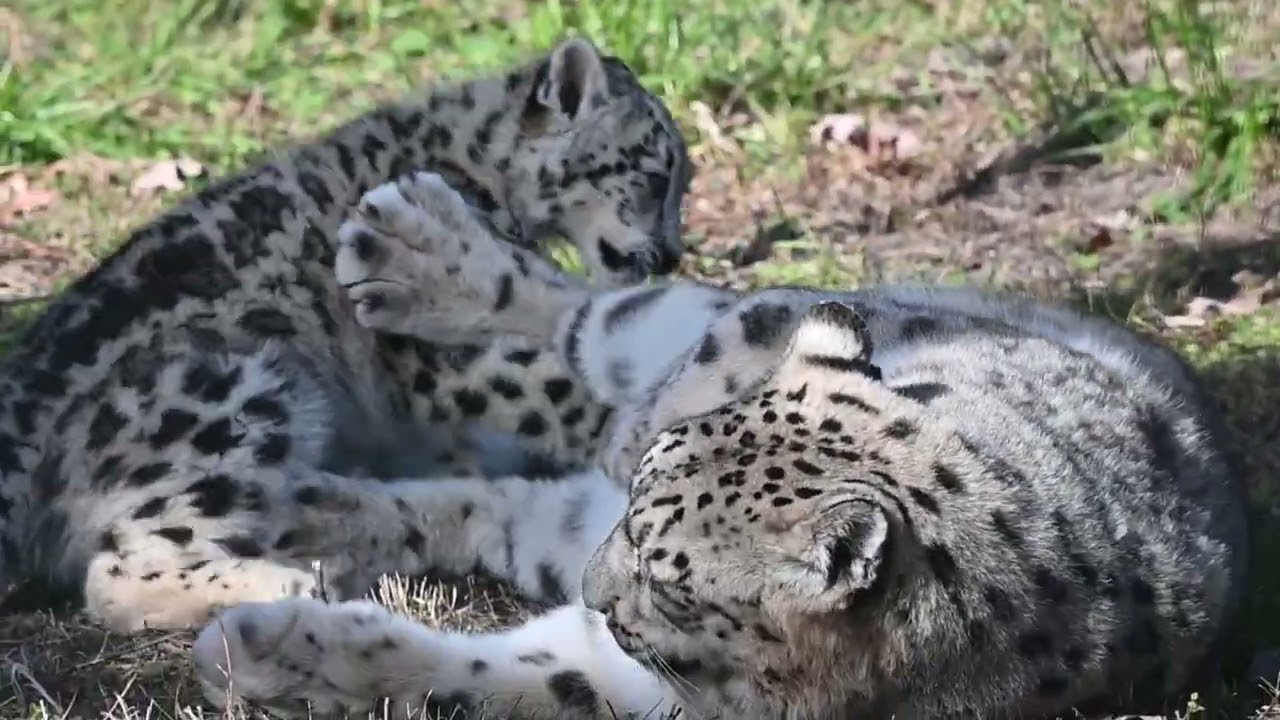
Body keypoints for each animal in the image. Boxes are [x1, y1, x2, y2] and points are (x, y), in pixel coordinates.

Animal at [0, 36, 693, 633]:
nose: (670, 255)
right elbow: (559, 383)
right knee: (116, 569)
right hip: (228, 393)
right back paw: (289, 583)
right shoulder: (463, 359)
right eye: (654, 175)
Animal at [191, 169, 1251, 719]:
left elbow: (503, 676)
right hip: (694, 322)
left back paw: (296, 520)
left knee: (502, 510)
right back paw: (416, 253)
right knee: (602, 316)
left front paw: (278, 654)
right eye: (643, 510)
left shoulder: (626, 682)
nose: (596, 588)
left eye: (670, 580)